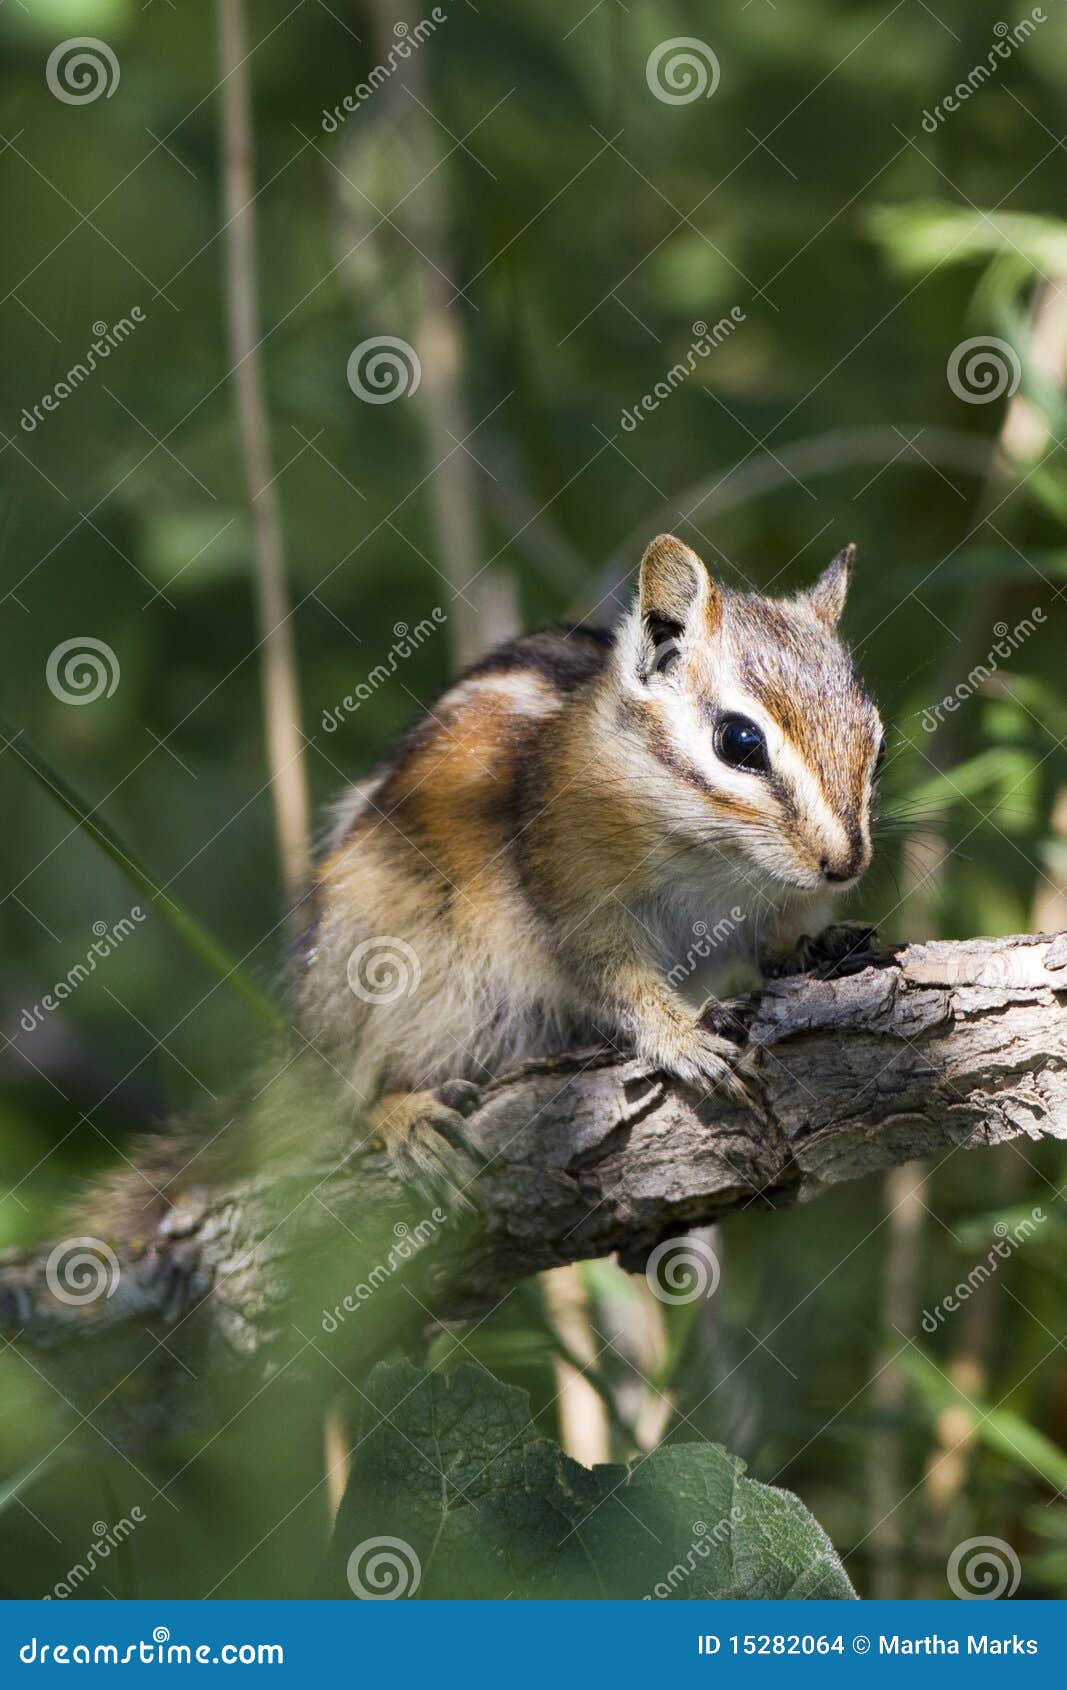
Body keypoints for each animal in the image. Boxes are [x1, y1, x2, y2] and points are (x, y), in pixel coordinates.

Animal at [296, 533, 884, 1198]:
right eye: (740, 742)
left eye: (879, 744)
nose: (845, 865)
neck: (718, 859)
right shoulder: (567, 895)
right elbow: (612, 978)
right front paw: (681, 1036)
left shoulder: (780, 901)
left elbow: (775, 944)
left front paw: (816, 944)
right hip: (378, 961)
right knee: (353, 1089)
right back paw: (403, 1116)